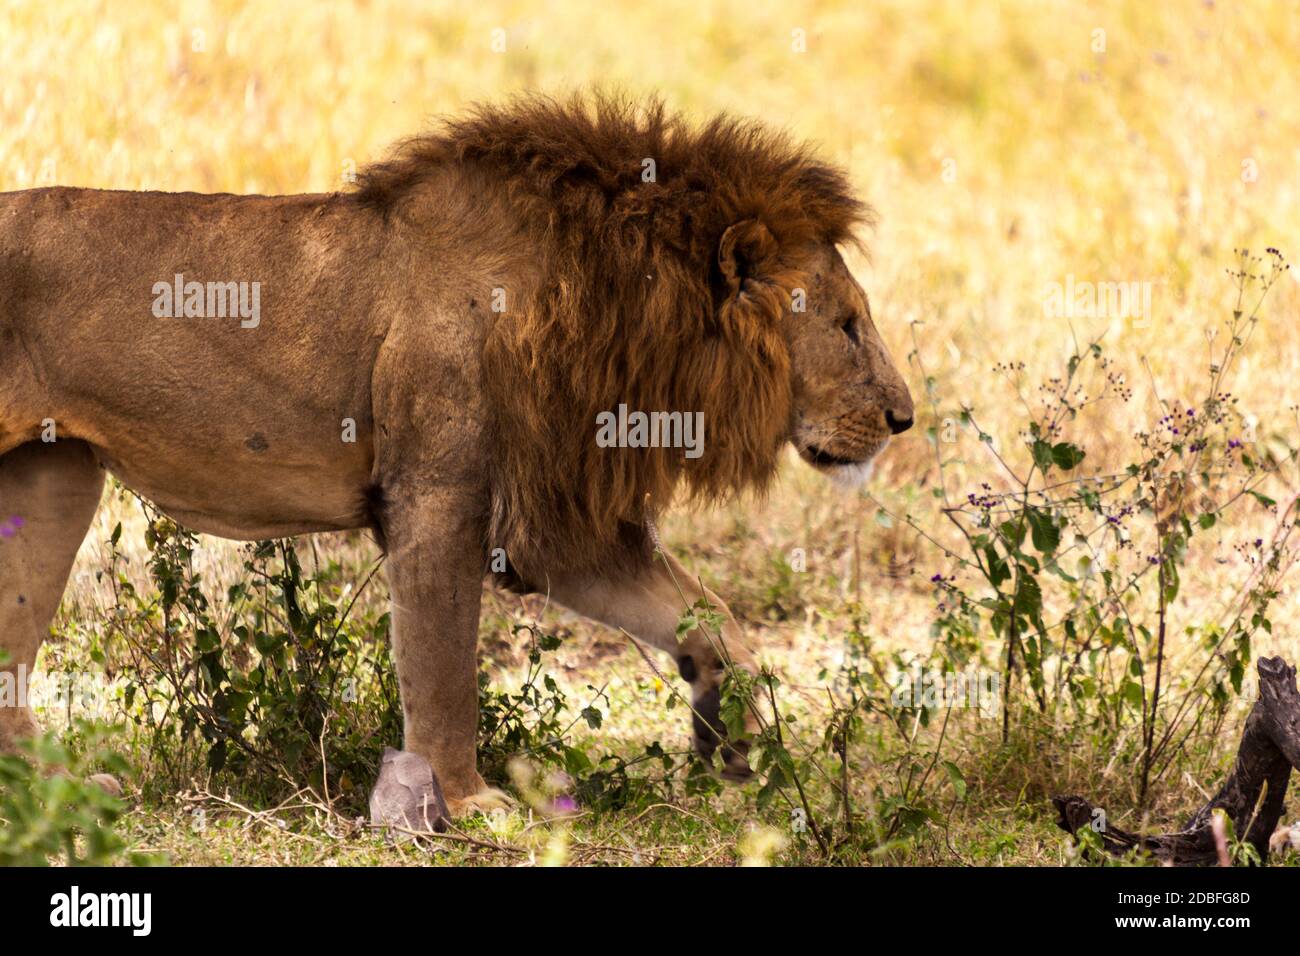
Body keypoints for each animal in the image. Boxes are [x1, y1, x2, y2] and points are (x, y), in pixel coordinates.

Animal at [0, 95, 912, 815]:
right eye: (846, 326)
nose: (904, 418)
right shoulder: (438, 494)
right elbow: (443, 669)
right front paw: (468, 803)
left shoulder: (555, 519)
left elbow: (707, 615)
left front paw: (734, 736)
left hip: (50, 478)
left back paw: (53, 795)